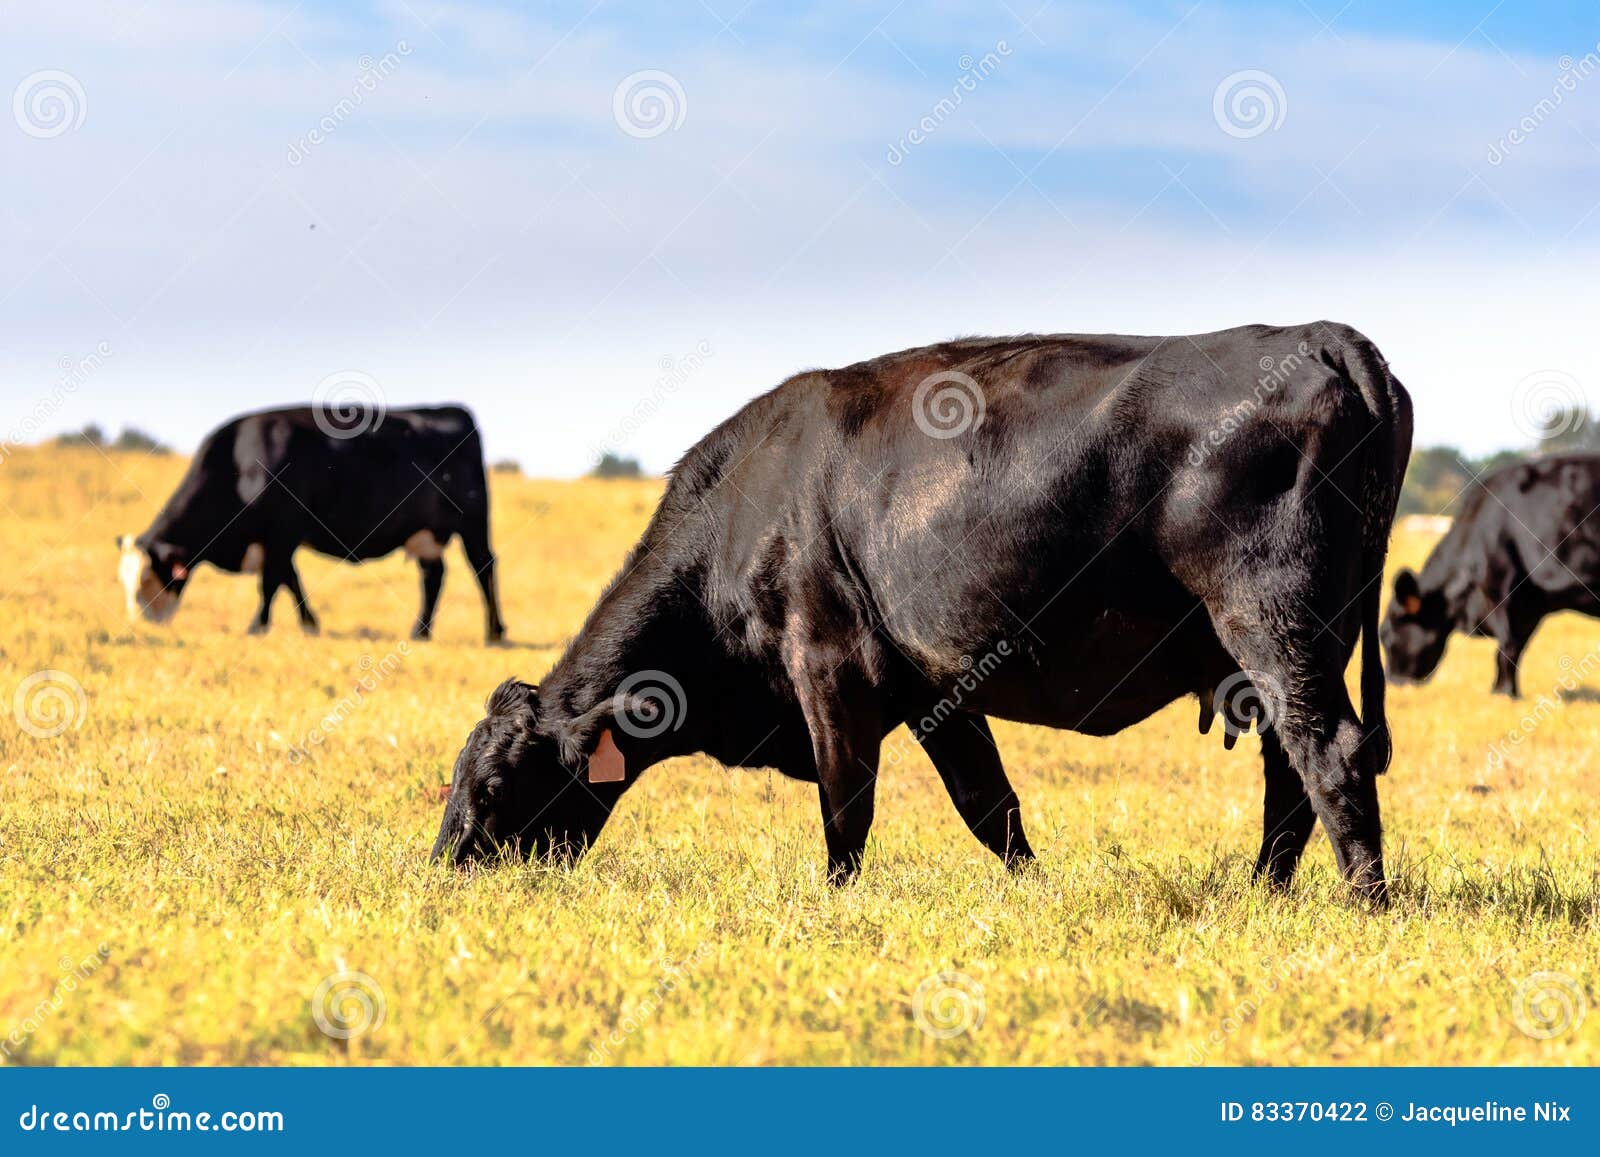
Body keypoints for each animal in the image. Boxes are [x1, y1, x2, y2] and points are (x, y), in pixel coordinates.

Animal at [120, 404, 507, 643]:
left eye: (148, 579)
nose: (139, 623)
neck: (239, 462)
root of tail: (449, 410)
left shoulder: (282, 533)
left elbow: (271, 583)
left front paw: (256, 626)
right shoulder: (277, 542)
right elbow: (291, 581)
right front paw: (310, 624)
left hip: (473, 525)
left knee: (483, 568)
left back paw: (494, 632)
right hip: (425, 535)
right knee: (433, 576)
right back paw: (420, 632)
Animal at [433, 322, 1411, 902]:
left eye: (493, 786)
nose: (442, 872)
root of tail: (1325, 337)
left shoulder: (829, 665)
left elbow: (846, 805)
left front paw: (834, 902)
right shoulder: (933, 685)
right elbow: (990, 804)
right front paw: (1032, 891)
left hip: (1271, 624)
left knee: (1329, 753)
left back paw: (1364, 901)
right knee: (1292, 774)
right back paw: (1264, 894)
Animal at [1383, 453, 1600, 698]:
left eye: (1386, 634)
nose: (1392, 682)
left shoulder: (1505, 593)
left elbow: (1507, 648)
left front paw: (1504, 693)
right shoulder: (1529, 606)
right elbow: (1516, 646)